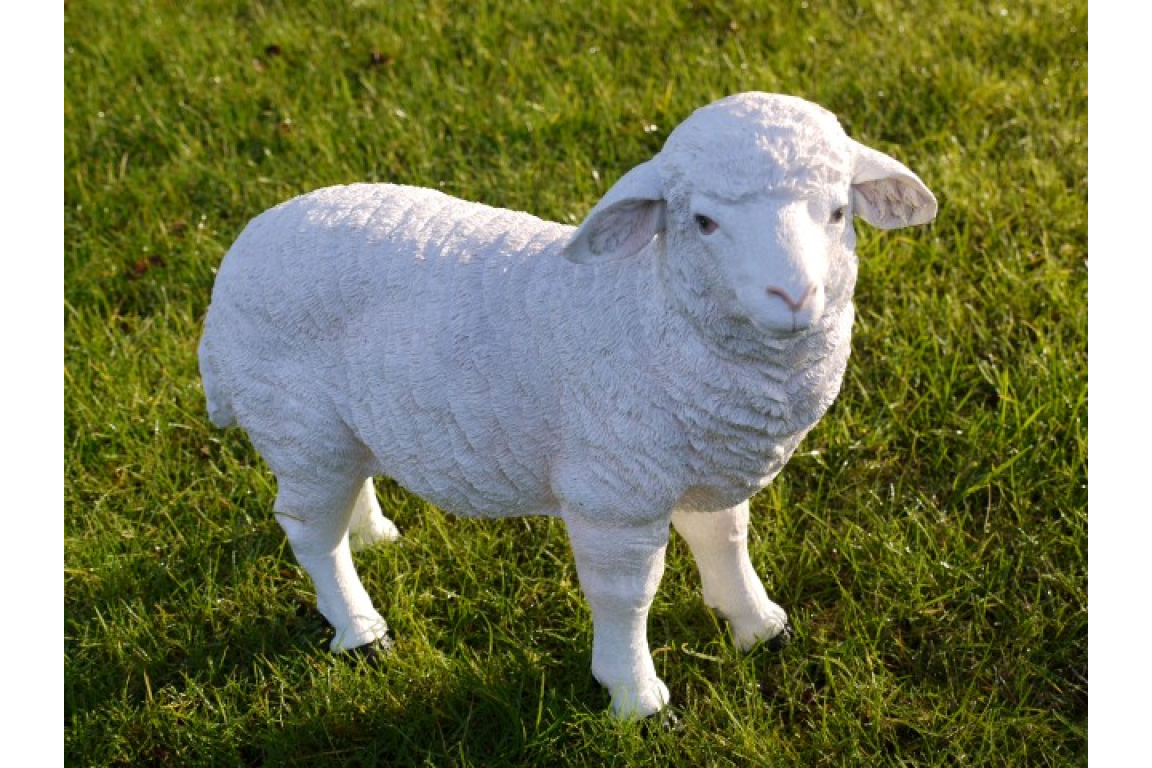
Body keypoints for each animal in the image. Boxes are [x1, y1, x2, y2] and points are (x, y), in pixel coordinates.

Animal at [198, 91, 938, 720]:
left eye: (837, 212)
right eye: (703, 222)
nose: (795, 295)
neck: (647, 309)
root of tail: (238, 255)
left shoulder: (703, 461)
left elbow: (725, 540)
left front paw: (759, 627)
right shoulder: (614, 494)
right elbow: (626, 594)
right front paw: (636, 698)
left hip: (335, 426)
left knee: (346, 488)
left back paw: (373, 535)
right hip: (296, 422)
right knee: (307, 531)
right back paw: (359, 628)